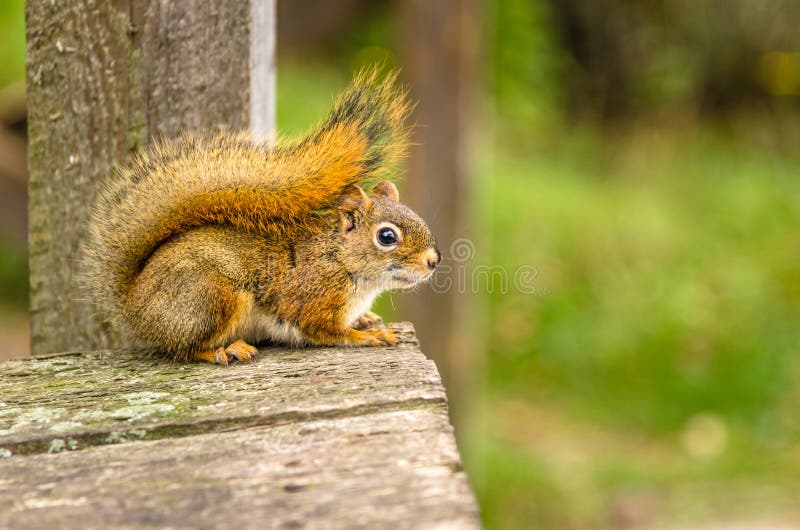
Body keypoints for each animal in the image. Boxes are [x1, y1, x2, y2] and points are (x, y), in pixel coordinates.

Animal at [82, 69, 440, 365]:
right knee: (186, 348)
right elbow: (329, 332)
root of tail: (133, 306)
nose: (433, 261)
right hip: (211, 297)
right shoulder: (315, 300)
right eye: (387, 237)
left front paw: (366, 320)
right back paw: (226, 350)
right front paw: (368, 334)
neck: (339, 258)